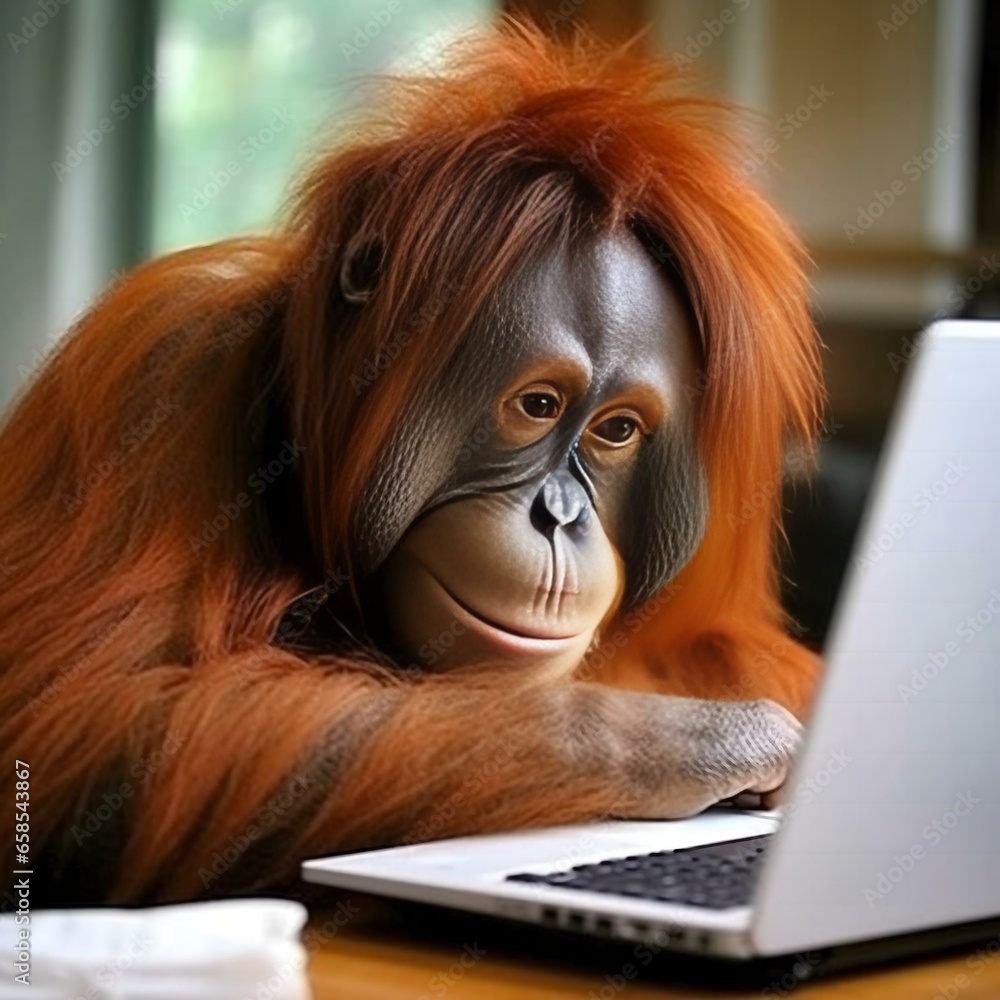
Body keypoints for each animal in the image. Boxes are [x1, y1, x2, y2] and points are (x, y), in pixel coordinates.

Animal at [0, 19, 823, 906]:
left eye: (618, 430)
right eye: (538, 404)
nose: (561, 516)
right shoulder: (169, 370)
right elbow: (94, 727)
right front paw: (706, 738)